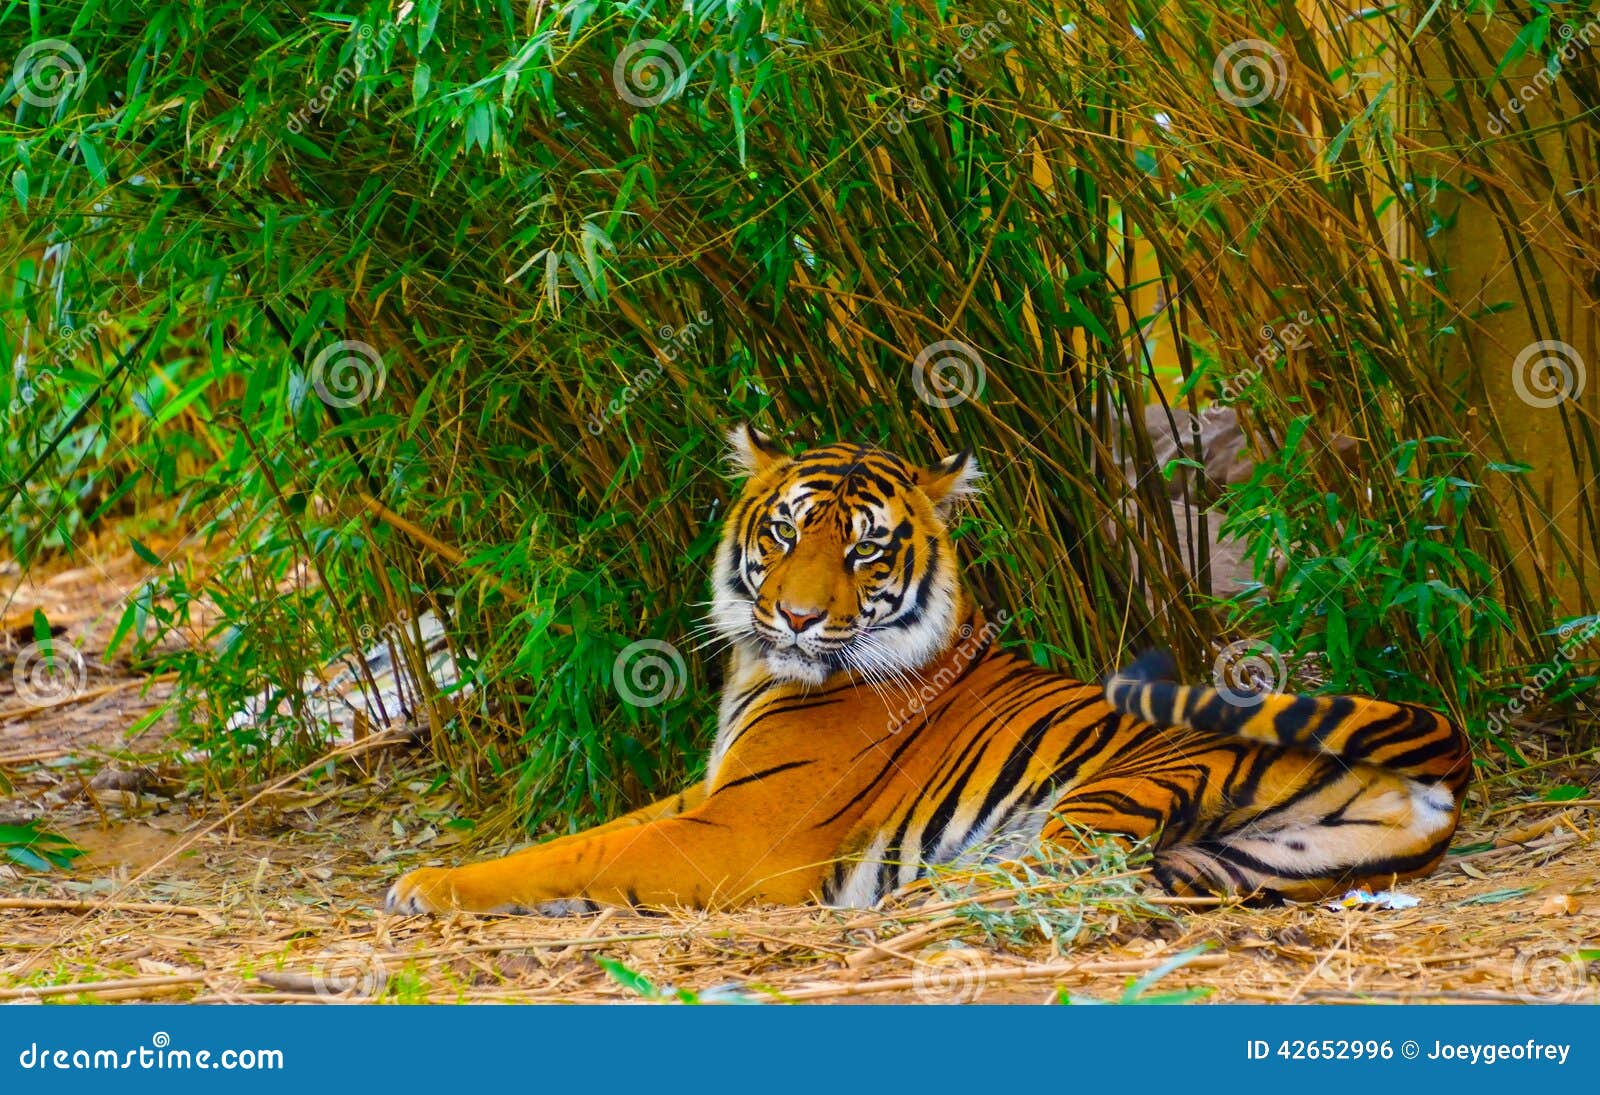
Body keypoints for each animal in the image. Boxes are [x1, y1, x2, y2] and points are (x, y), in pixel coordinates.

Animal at [386, 425, 1471, 915]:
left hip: (1120, 786)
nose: (796, 616)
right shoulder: (706, 794)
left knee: (1062, 873)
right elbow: (592, 832)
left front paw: (426, 885)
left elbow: (581, 854)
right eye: (785, 532)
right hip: (1237, 862)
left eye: (866, 550)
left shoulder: (734, 833)